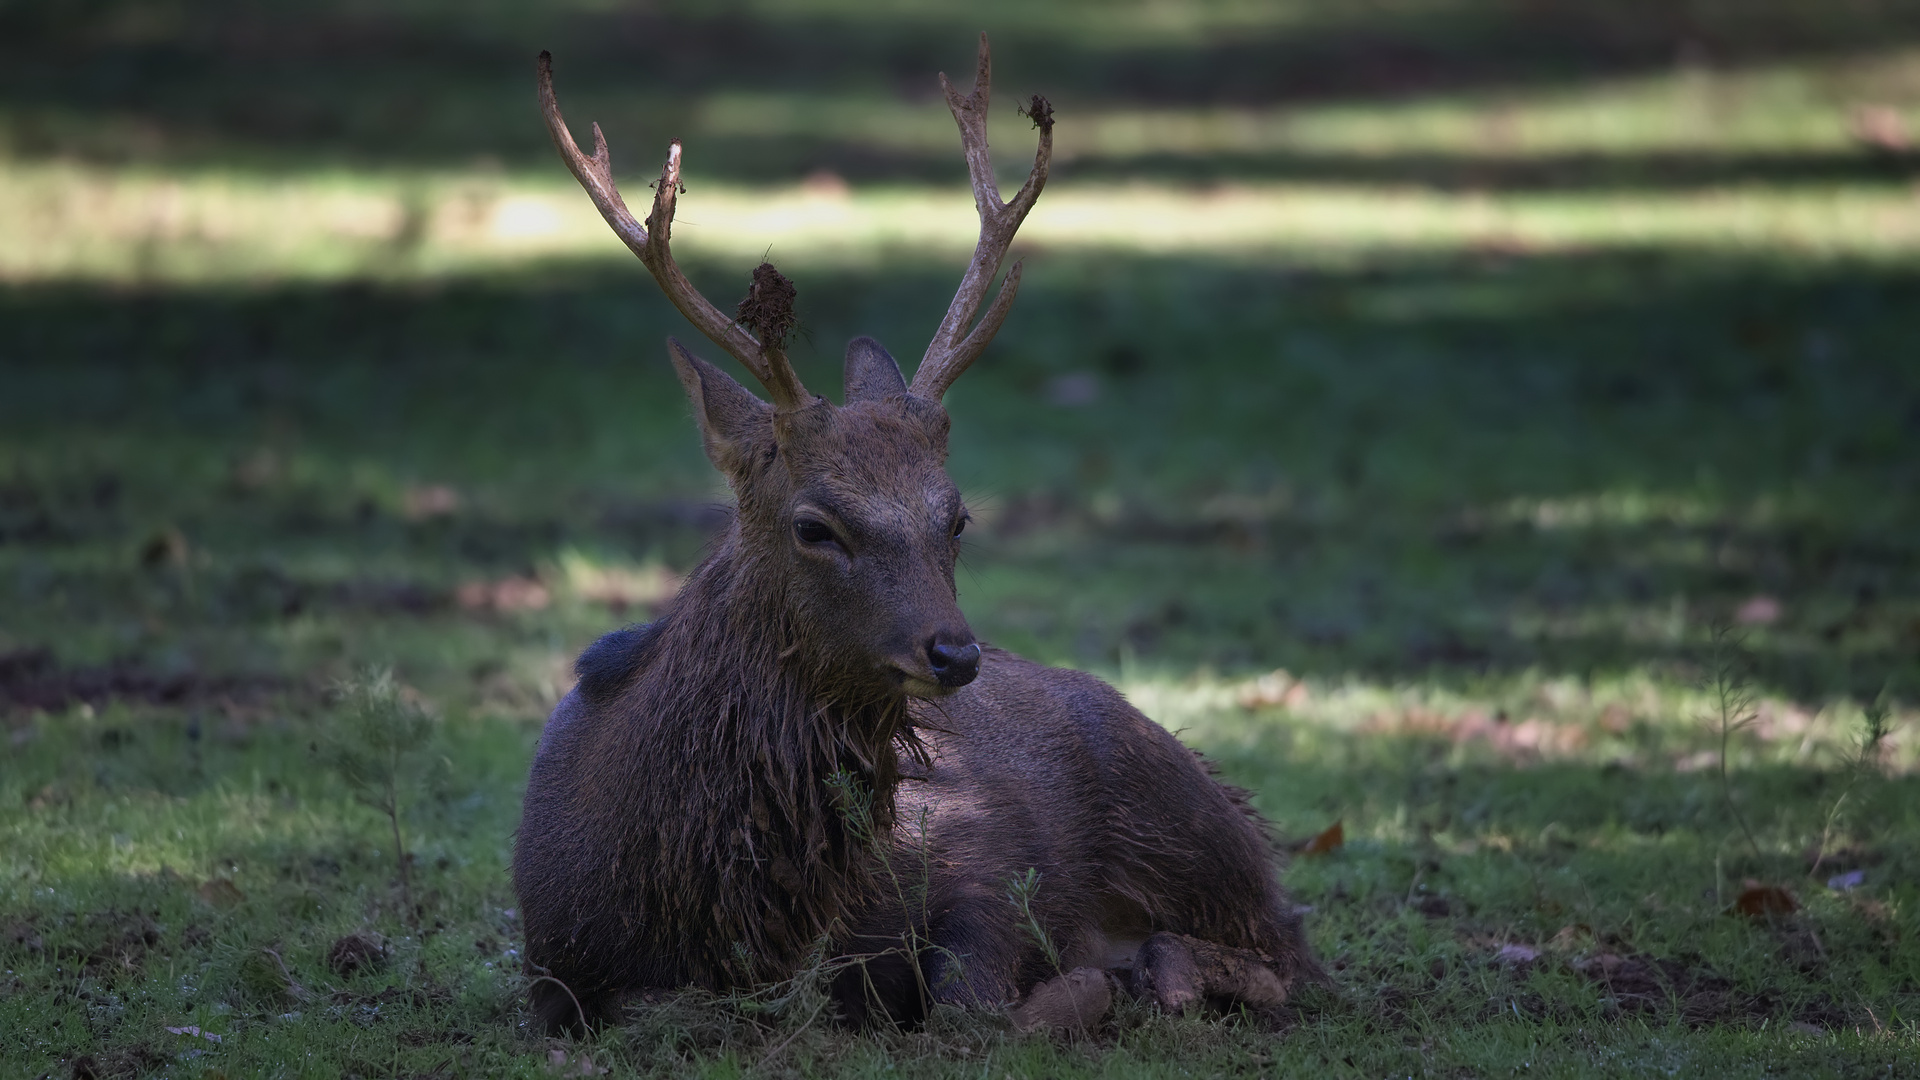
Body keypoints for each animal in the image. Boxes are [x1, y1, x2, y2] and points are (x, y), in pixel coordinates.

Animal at [510, 31, 1320, 1022]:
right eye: (815, 525)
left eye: (957, 515)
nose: (955, 653)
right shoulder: (557, 972)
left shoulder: (980, 851)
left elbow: (969, 1010)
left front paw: (1084, 984)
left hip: (1183, 813)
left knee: (1290, 949)